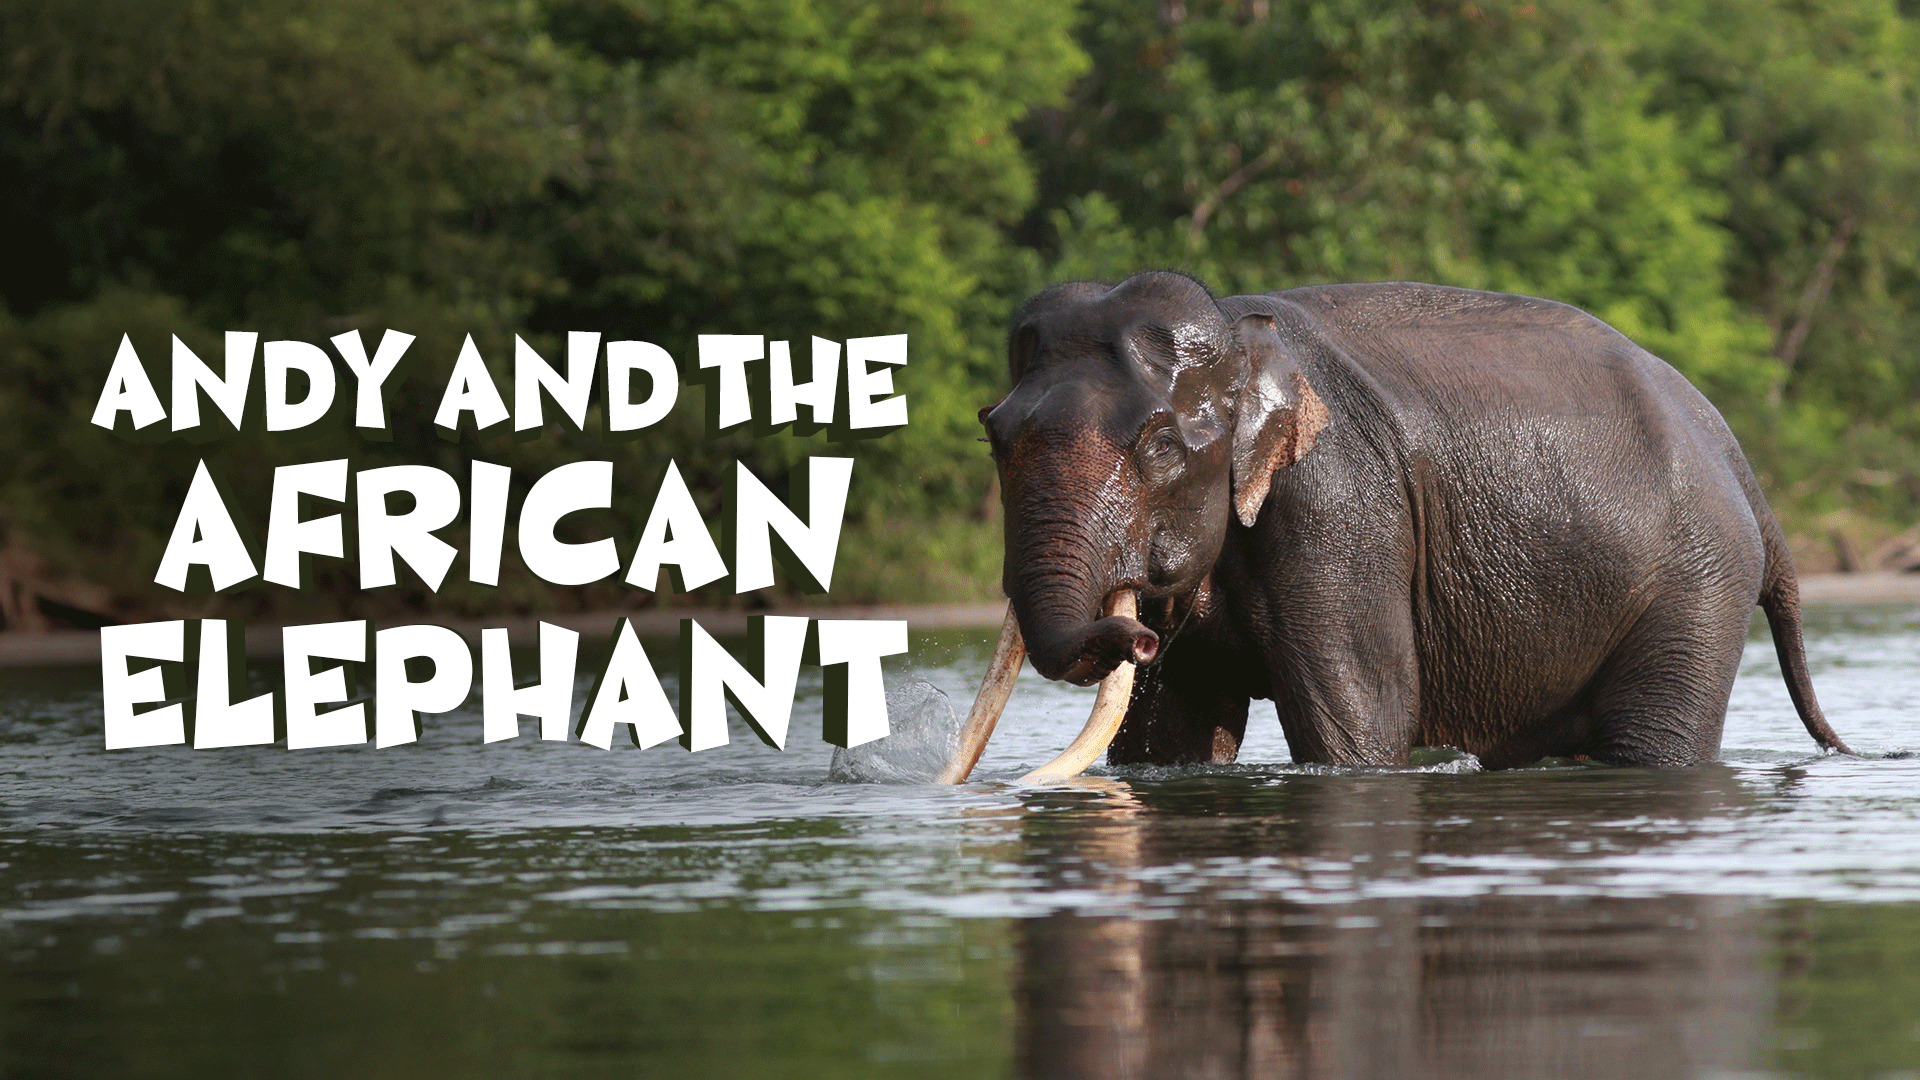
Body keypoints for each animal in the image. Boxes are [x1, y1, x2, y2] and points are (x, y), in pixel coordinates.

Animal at [936, 270, 1852, 778]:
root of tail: (1737, 458)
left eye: (1160, 444)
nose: (1140, 634)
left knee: (1654, 738)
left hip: (1696, 582)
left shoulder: (1342, 507)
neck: (1240, 331)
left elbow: (1358, 722)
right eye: (993, 433)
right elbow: (1167, 740)